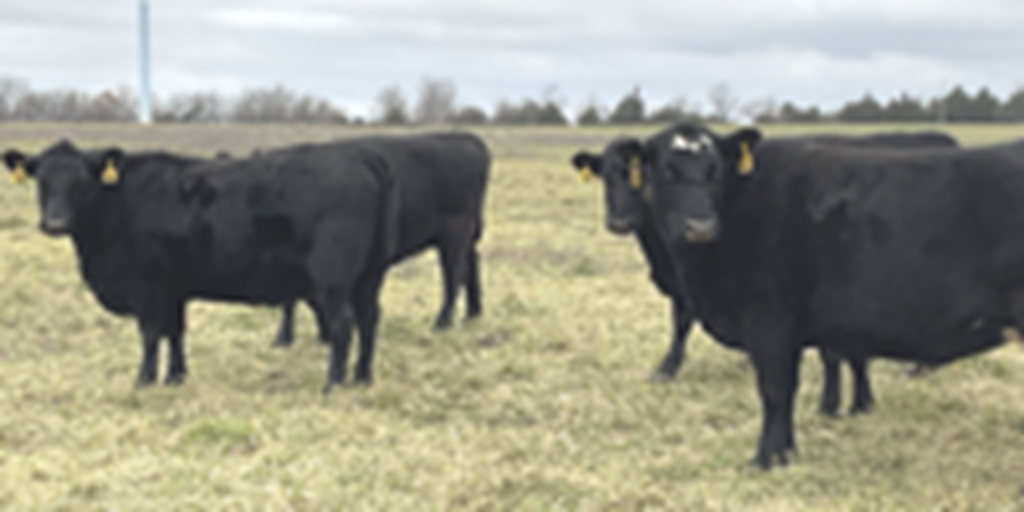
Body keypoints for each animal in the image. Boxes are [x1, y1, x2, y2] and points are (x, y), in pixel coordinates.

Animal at [4, 139, 400, 393]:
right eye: (41, 180)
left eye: (81, 182)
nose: (55, 223)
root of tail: (360, 157)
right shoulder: (172, 288)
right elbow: (175, 331)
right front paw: (176, 376)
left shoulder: (147, 285)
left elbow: (150, 333)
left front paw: (144, 381)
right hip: (368, 276)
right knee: (369, 319)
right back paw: (362, 377)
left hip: (332, 280)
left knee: (343, 324)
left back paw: (332, 383)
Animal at [273, 133, 490, 346]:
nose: (326, 337)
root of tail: (465, 138)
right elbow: (288, 301)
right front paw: (283, 337)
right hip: (463, 235)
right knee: (471, 263)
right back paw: (473, 313)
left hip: (455, 233)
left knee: (455, 274)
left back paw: (442, 321)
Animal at [641, 121, 1024, 468]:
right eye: (665, 172)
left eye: (716, 171)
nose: (700, 227)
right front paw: (786, 452)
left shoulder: (769, 321)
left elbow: (775, 389)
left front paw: (766, 458)